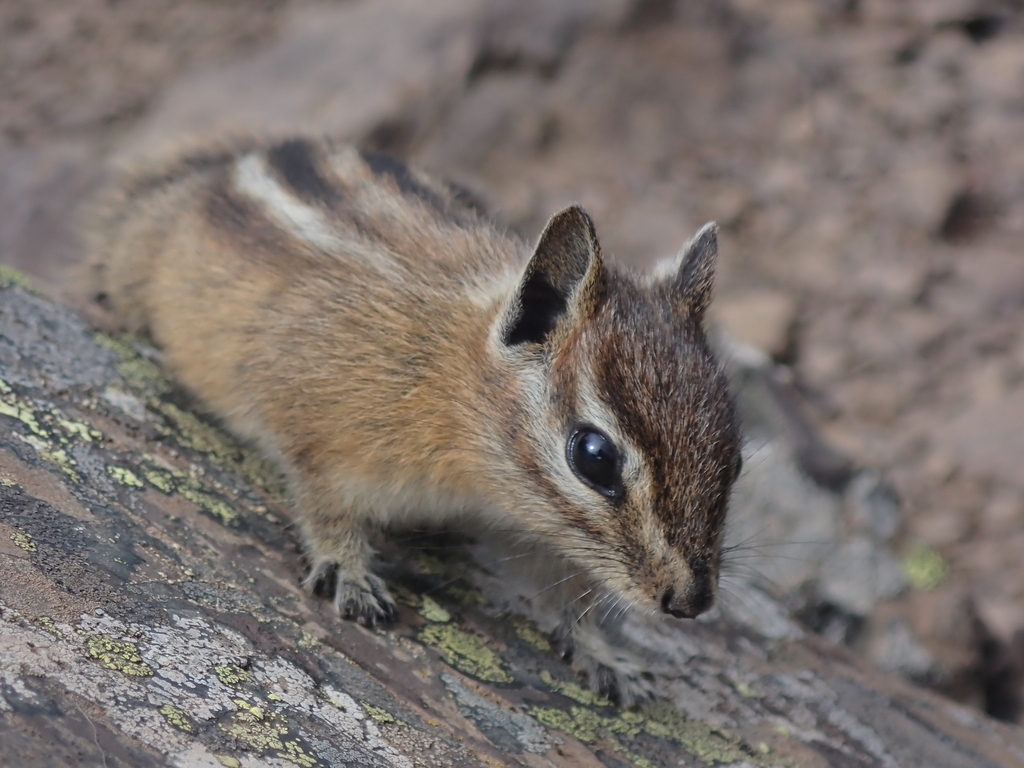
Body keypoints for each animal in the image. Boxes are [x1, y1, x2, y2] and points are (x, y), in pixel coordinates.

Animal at [84, 136, 743, 704]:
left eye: (735, 459)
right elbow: (323, 502)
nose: (691, 603)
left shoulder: (543, 524)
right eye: (594, 457)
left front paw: (603, 653)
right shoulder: (321, 431)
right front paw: (349, 572)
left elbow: (570, 584)